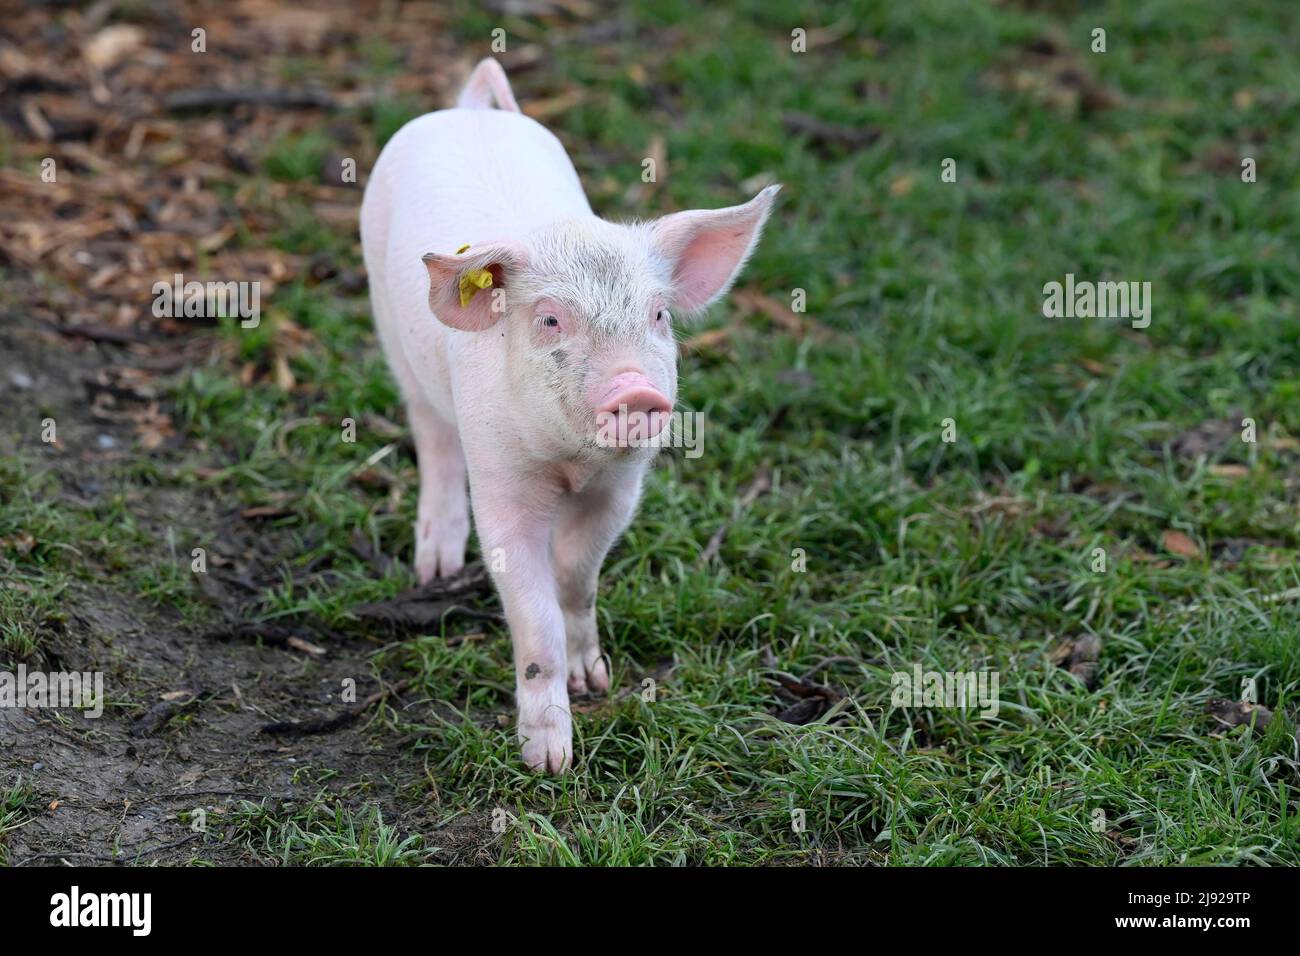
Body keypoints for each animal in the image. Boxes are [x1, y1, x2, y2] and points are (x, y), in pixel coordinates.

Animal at [359, 57, 778, 772]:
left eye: (658, 314)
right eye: (551, 319)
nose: (635, 388)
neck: (570, 462)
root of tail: (468, 109)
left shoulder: (620, 489)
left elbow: (577, 578)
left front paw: (597, 683)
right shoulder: (500, 484)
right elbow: (534, 617)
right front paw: (548, 762)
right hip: (389, 330)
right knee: (431, 435)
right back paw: (433, 568)